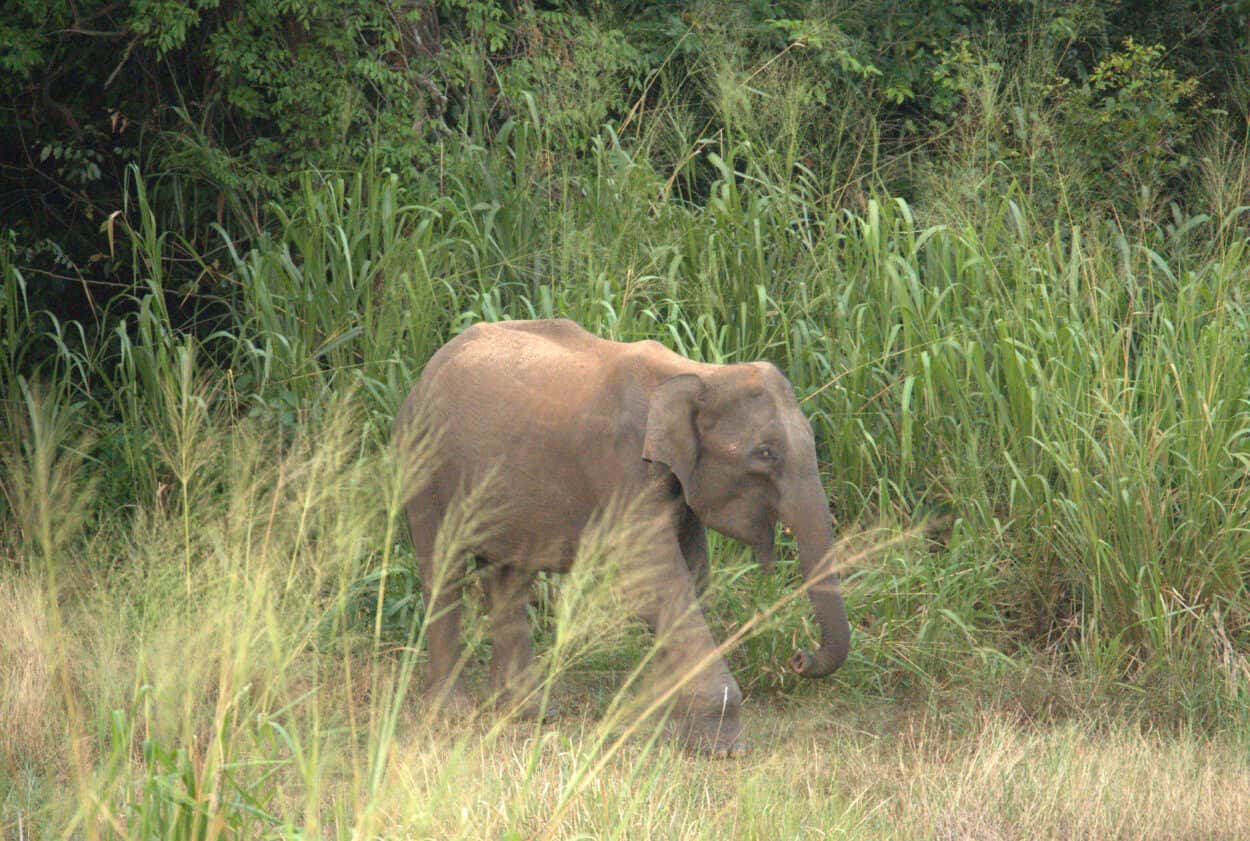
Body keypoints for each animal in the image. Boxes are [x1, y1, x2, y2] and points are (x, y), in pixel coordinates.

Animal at [394, 318, 850, 755]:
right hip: (423, 458)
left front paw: (670, 726)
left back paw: (529, 712)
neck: (697, 374)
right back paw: (451, 711)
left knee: (508, 577)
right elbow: (658, 584)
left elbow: (692, 580)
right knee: (444, 568)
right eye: (765, 454)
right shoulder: (621, 466)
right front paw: (723, 748)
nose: (798, 657)